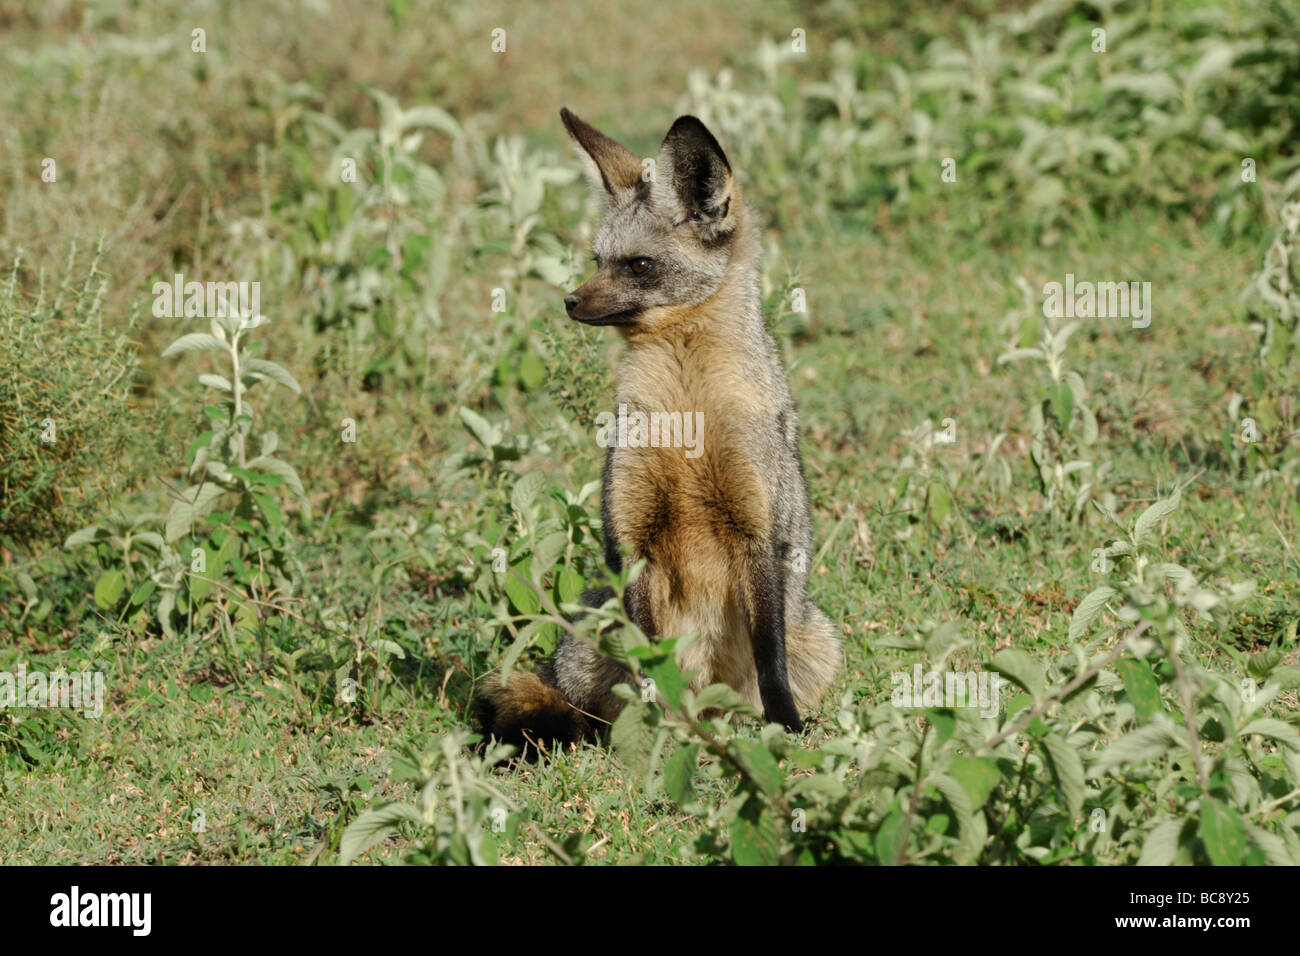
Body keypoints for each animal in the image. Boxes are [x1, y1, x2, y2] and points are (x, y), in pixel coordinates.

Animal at [473, 107, 841, 754]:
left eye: (638, 265)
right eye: (596, 259)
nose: (569, 302)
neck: (688, 420)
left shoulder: (758, 532)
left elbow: (769, 657)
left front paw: (785, 726)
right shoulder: (631, 535)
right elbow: (651, 663)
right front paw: (658, 728)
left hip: (817, 640)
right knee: (583, 712)